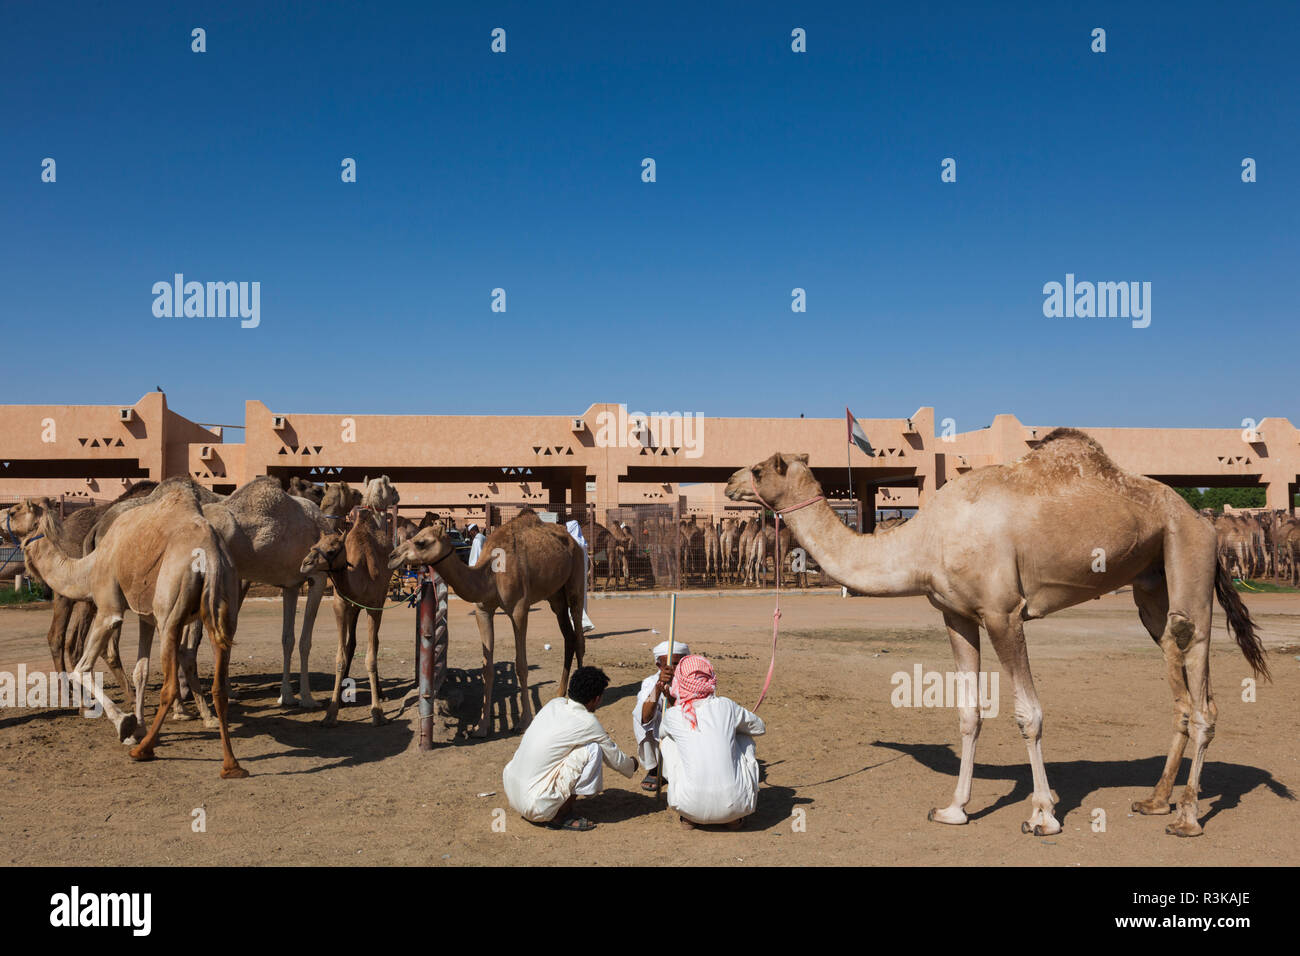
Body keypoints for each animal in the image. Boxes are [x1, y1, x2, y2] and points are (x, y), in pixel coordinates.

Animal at [17, 482, 246, 776]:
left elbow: (82, 668)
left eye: (14, 511)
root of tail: (211, 557)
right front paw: (138, 726)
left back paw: (143, 751)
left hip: (170, 610)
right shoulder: (145, 616)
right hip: (225, 605)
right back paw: (231, 765)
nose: (29, 576)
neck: (89, 566)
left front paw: (126, 725)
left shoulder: (109, 609)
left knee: (170, 684)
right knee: (219, 683)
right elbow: (141, 671)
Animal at [300, 480, 395, 726]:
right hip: (354, 608)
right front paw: (332, 711)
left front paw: (377, 711)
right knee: (351, 643)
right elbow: (340, 656)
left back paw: (380, 693)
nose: (305, 563)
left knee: (374, 643)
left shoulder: (374, 605)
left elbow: (371, 656)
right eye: (315, 543)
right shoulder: (341, 605)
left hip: (377, 601)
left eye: (333, 549)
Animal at [388, 509, 586, 736]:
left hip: (575, 579)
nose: (392, 557)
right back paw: (560, 693)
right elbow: (487, 669)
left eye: (421, 542)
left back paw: (579, 700)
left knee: (579, 635)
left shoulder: (519, 609)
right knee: (569, 637)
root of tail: (572, 541)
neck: (491, 573)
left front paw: (524, 721)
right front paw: (481, 726)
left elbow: (521, 665)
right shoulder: (483, 611)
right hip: (556, 595)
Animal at [726, 430, 1270, 837]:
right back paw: (1155, 801)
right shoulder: (957, 616)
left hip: (1188, 556)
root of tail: (1204, 520)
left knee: (1201, 683)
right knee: (1177, 676)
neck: (925, 539)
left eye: (759, 468)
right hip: (1151, 583)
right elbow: (968, 713)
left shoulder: (1003, 613)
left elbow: (1029, 714)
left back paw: (1188, 816)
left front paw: (1043, 815)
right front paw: (953, 809)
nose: (730, 483)